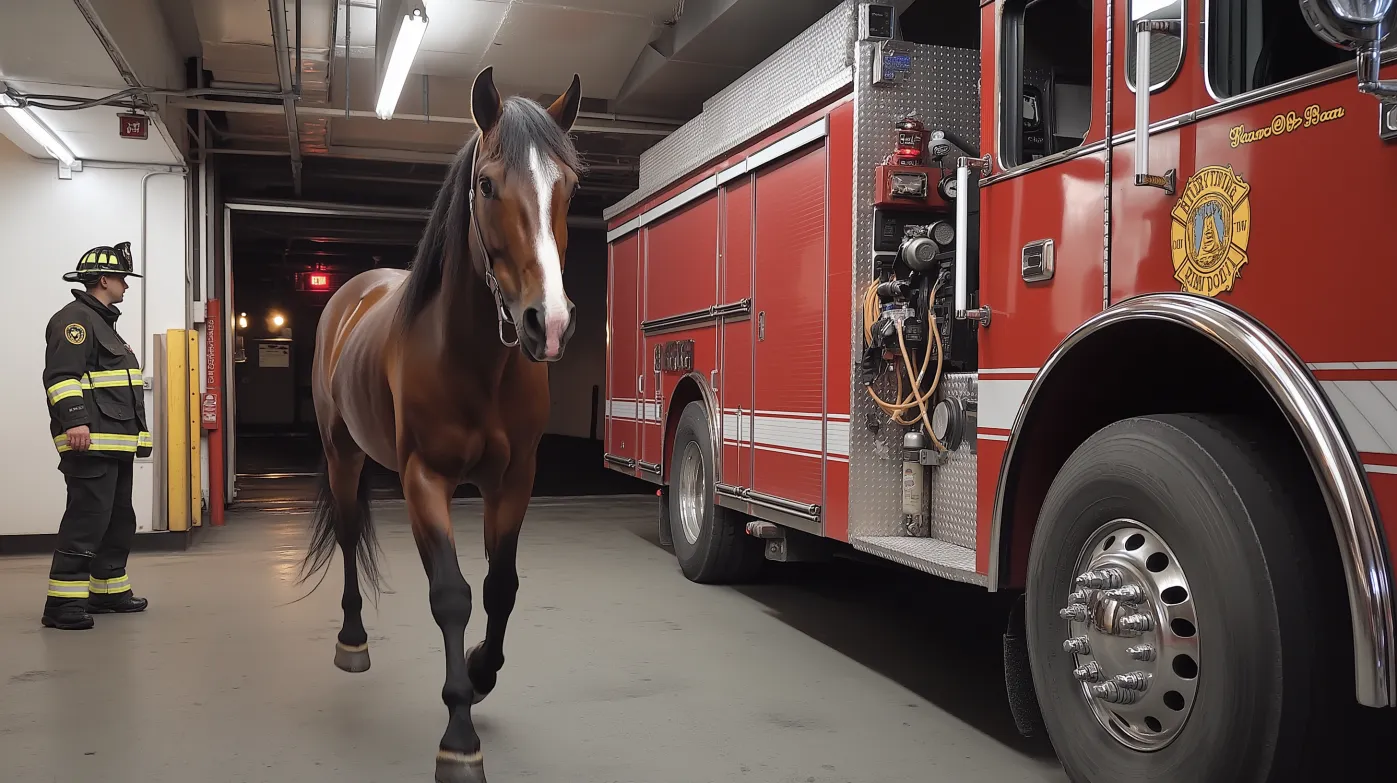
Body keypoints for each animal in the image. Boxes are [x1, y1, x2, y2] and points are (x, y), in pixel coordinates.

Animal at [298, 66, 584, 783]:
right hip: (343, 455)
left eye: (569, 186)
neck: (475, 357)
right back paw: (352, 641)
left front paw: (481, 672)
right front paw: (459, 735)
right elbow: (452, 594)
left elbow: (501, 586)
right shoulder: (424, 479)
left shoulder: (514, 481)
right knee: (349, 537)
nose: (549, 323)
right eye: (486, 184)